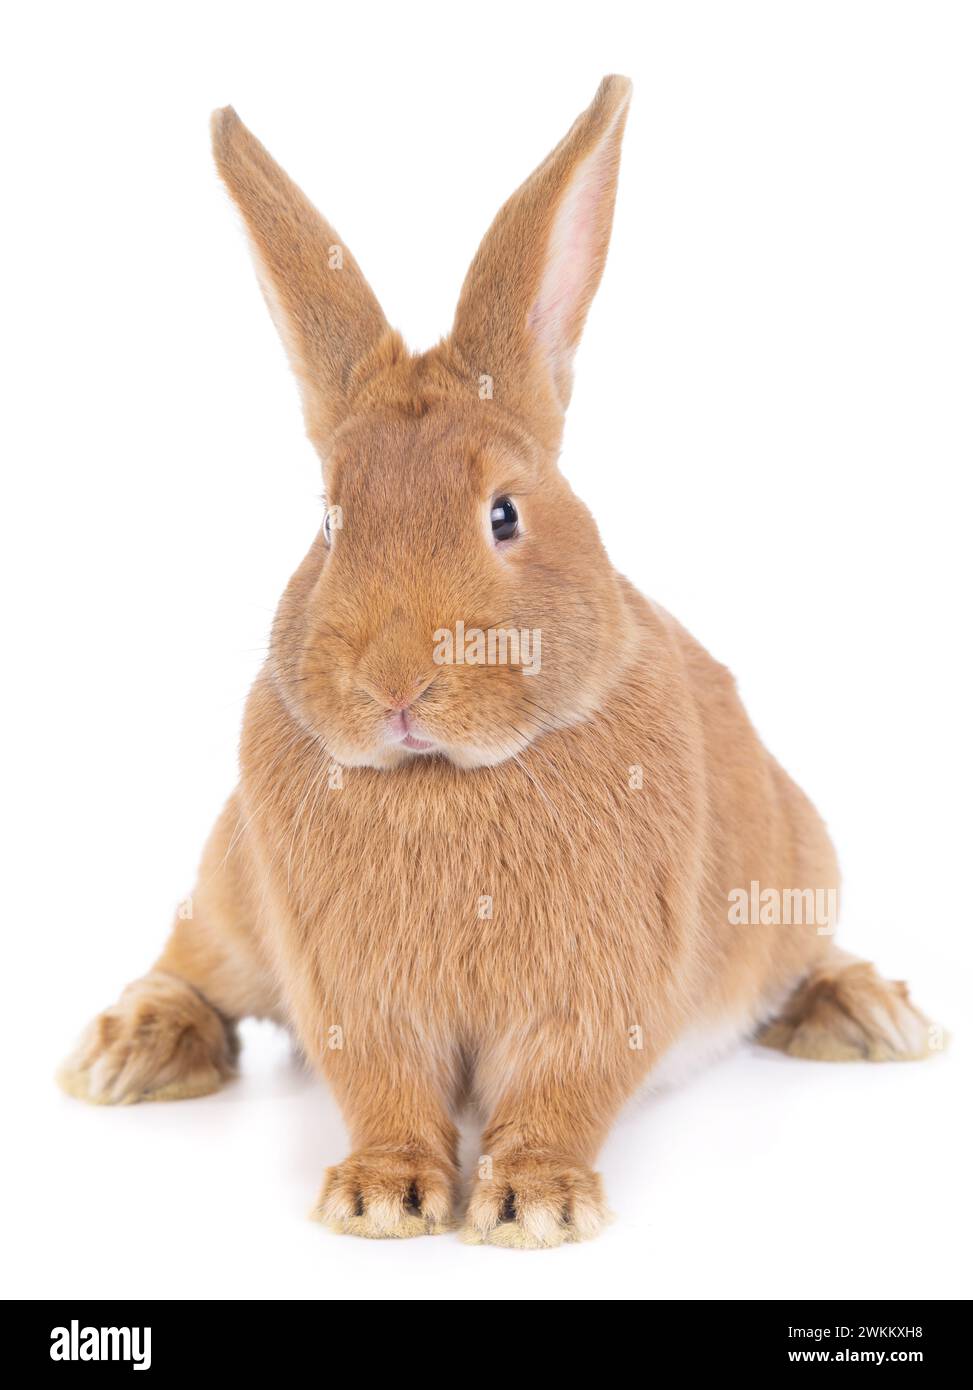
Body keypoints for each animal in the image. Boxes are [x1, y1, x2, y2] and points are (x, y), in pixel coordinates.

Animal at [59, 76, 937, 1249]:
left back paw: (872, 1017)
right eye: (329, 522)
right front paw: (379, 1199)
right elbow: (383, 1086)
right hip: (230, 896)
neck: (445, 779)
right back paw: (127, 1052)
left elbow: (560, 1089)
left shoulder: (599, 994)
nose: (396, 686)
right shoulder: (355, 997)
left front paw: (534, 1205)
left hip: (794, 874)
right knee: (192, 969)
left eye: (504, 514)